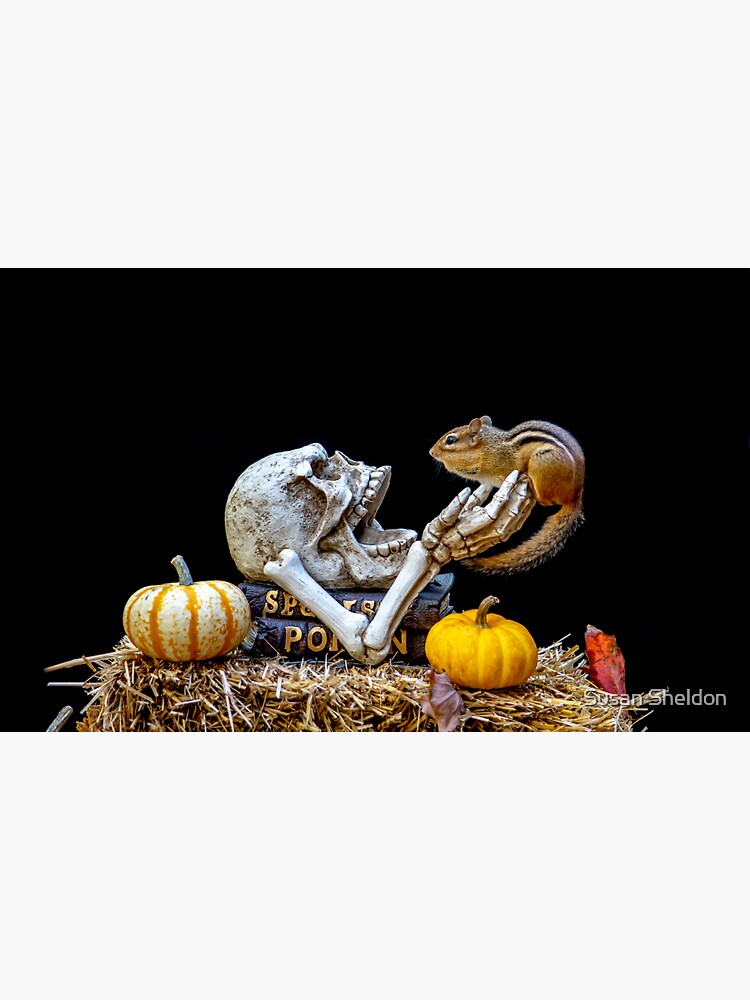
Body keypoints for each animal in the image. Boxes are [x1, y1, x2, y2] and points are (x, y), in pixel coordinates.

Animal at [429, 415, 585, 574]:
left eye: (450, 440)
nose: (431, 452)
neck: (488, 449)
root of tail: (575, 496)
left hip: (541, 462)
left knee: (544, 501)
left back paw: (528, 480)